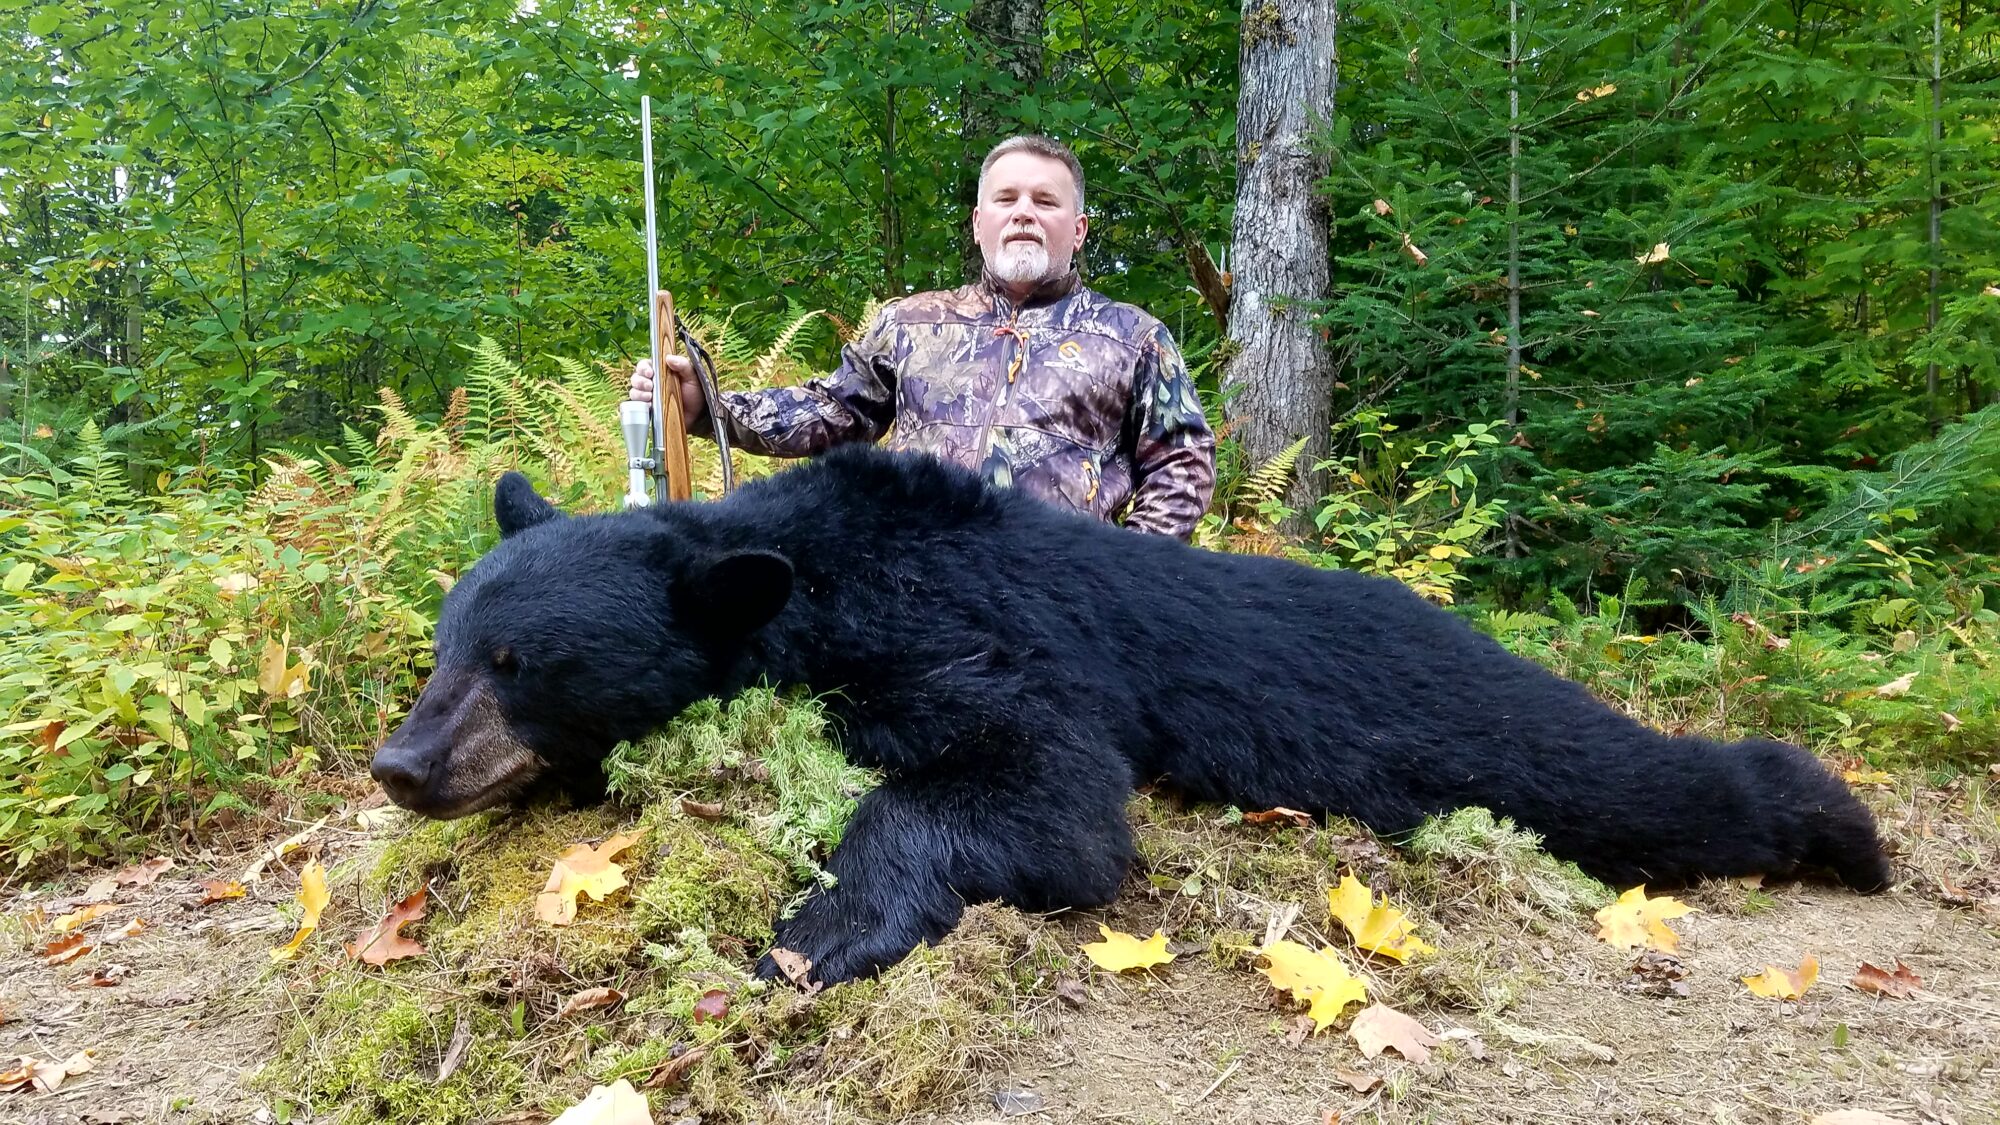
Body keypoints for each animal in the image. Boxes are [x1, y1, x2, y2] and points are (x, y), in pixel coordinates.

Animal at [371, 445, 1892, 985]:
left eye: (520, 660)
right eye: (442, 648)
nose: (399, 763)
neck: (811, 576)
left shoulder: (960, 635)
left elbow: (1042, 789)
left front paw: (822, 928)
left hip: (1456, 717)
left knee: (1622, 779)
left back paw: (1842, 827)